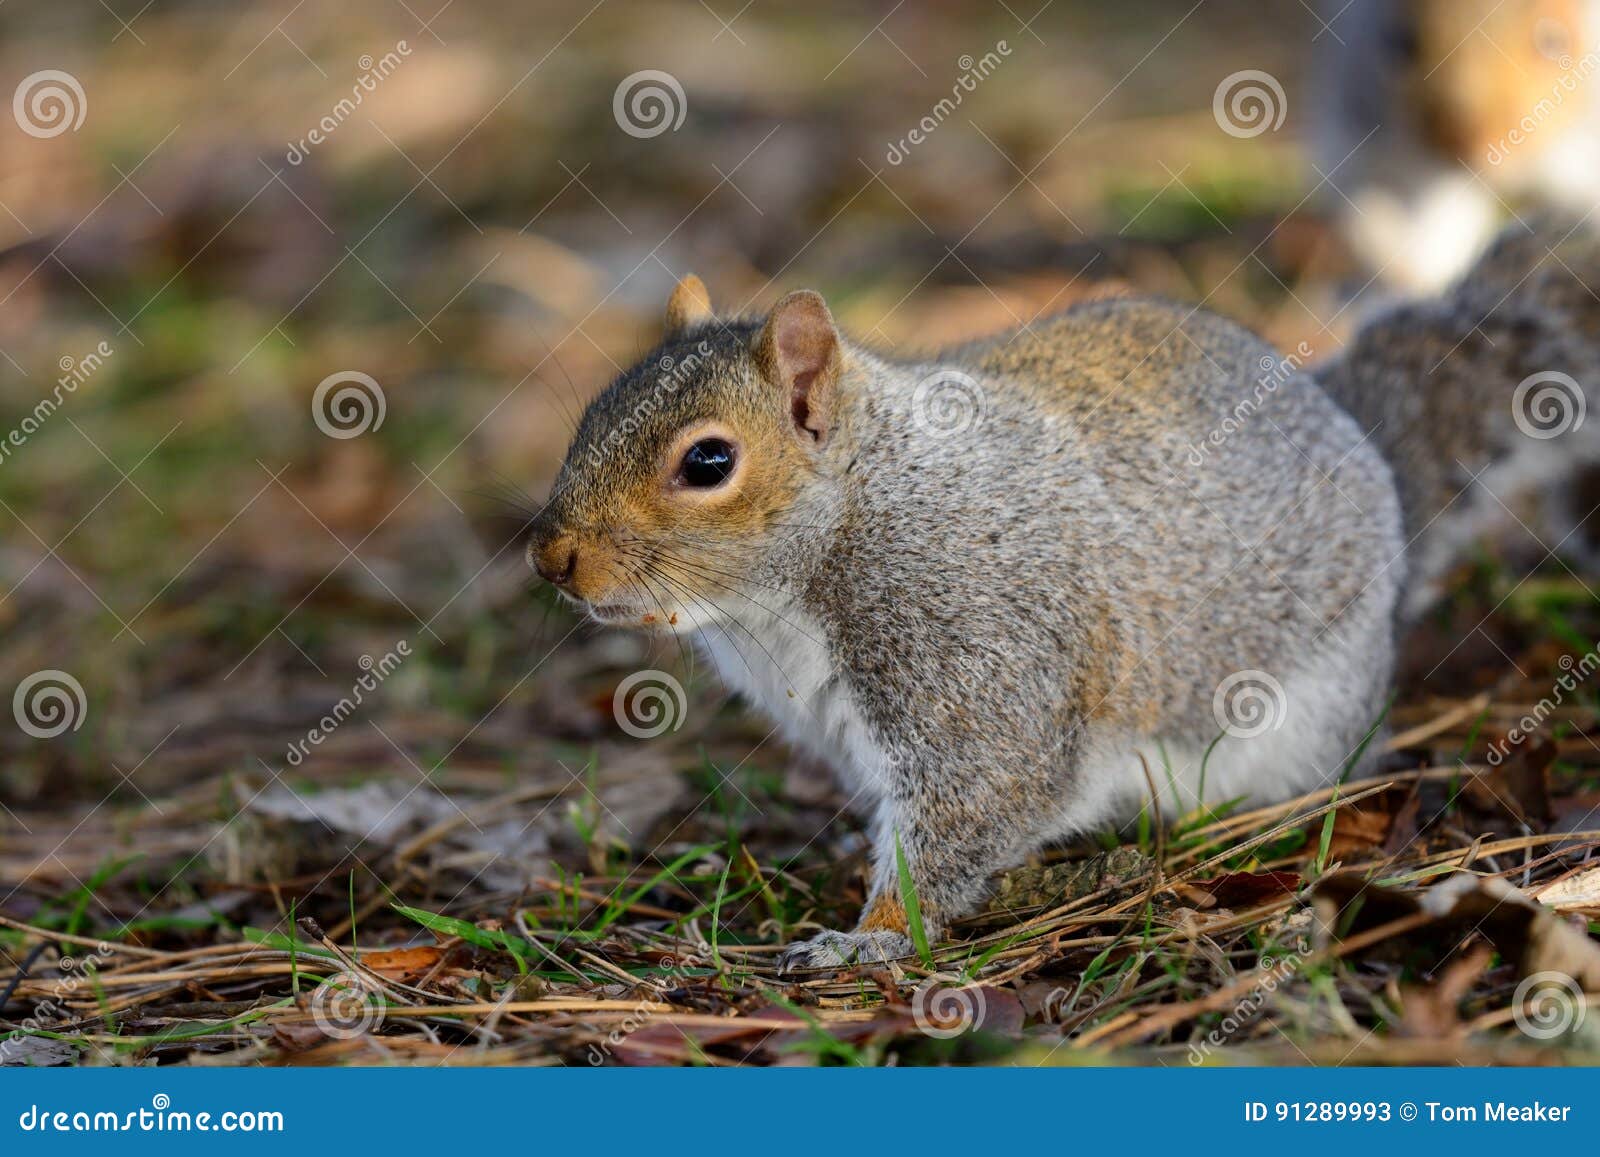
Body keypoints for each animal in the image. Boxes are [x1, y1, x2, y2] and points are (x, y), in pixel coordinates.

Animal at [526, 217, 1600, 971]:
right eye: (589, 413)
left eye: (708, 461)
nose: (550, 557)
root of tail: (1373, 463)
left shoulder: (977, 651)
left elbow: (974, 805)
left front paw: (870, 933)